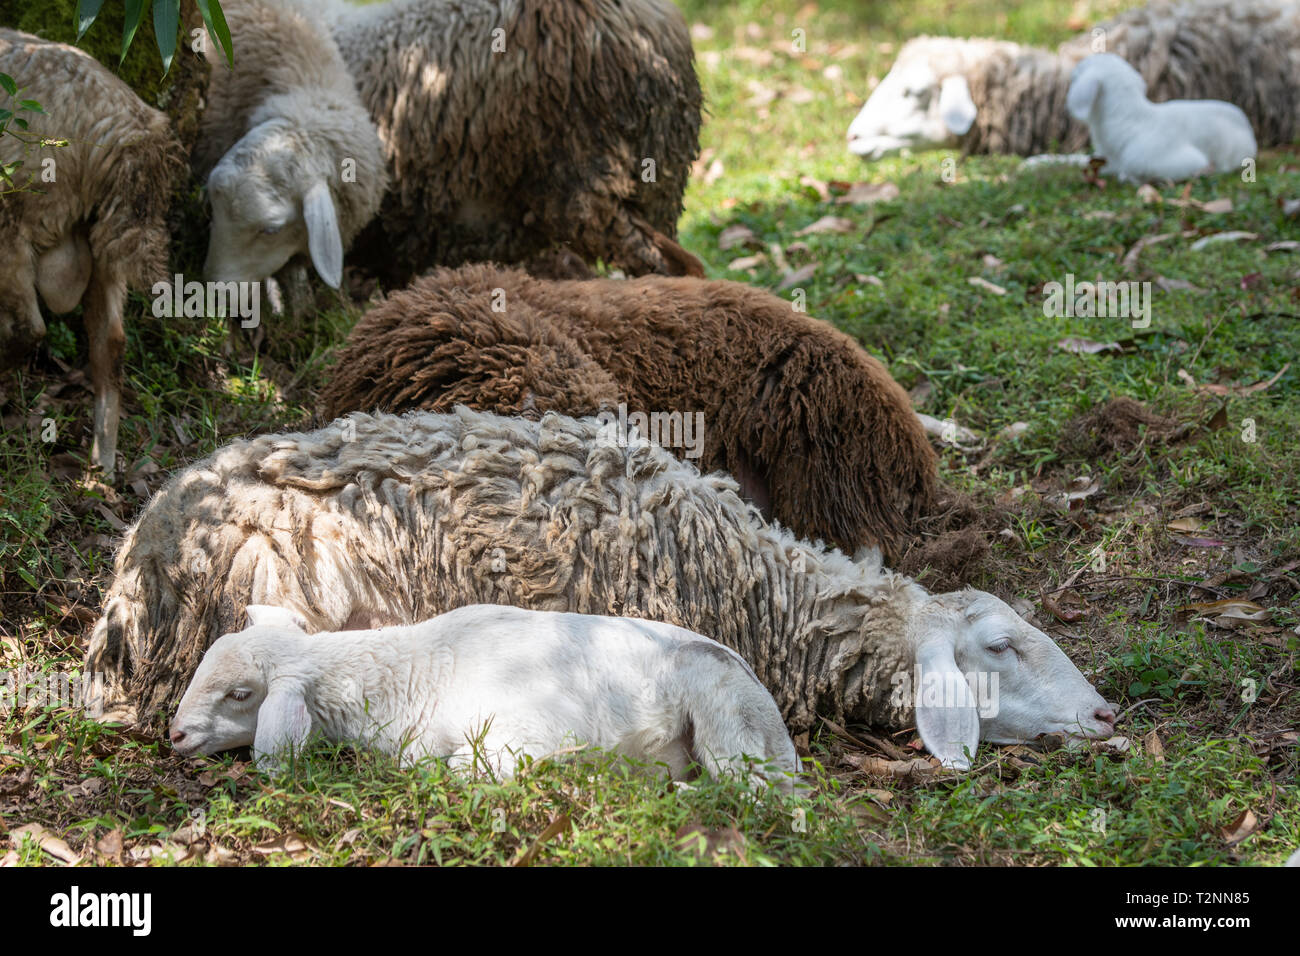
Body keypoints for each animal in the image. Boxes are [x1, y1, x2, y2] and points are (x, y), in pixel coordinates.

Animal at [0, 29, 183, 477]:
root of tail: (130, 134)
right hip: (105, 234)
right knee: (110, 342)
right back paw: (102, 461)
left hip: (17, 206)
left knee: (28, 327)